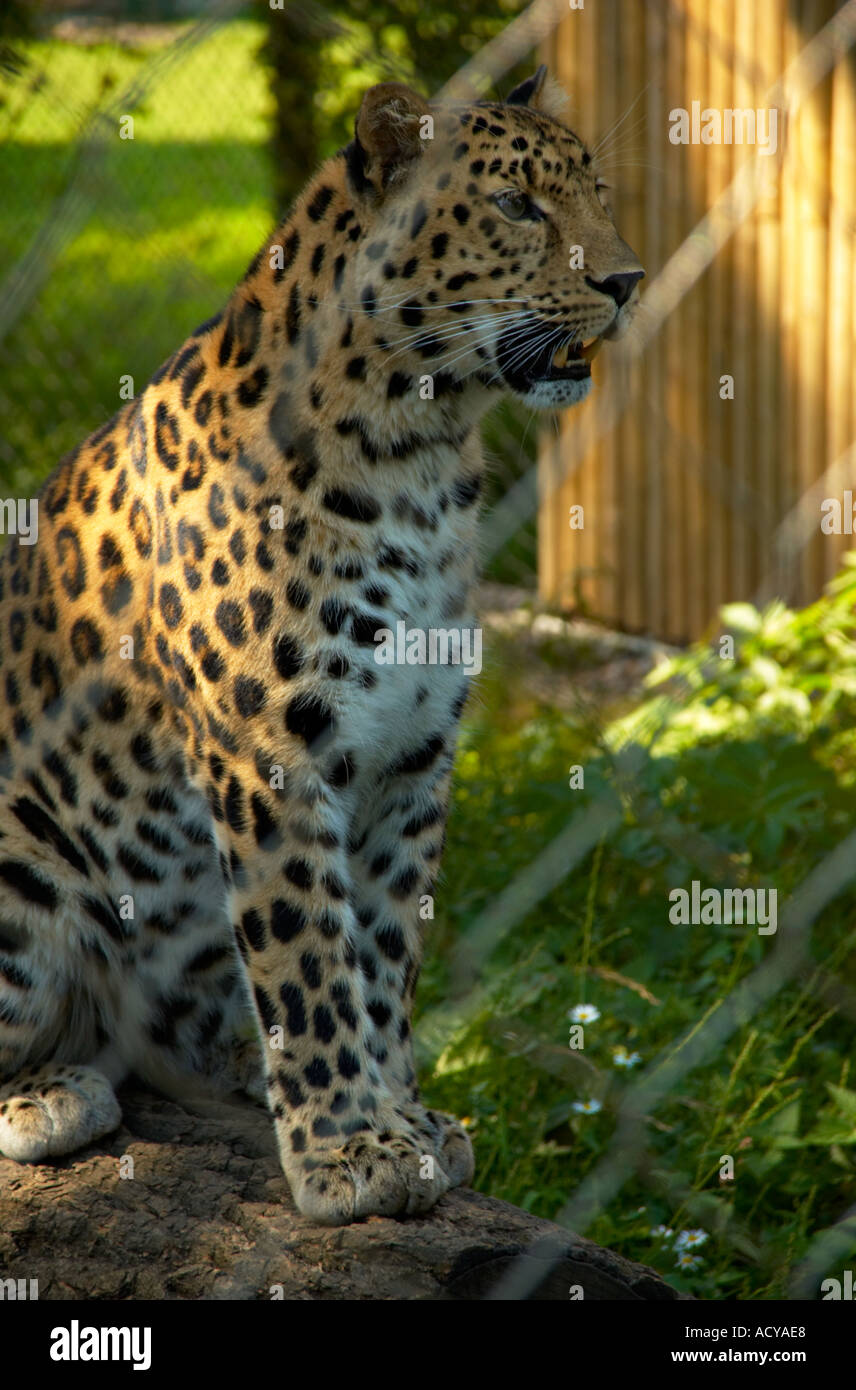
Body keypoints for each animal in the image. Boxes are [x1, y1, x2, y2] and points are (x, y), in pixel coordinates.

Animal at [0, 66, 643, 1224]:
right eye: (517, 206)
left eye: (597, 193)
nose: (627, 280)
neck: (419, 453)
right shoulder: (272, 754)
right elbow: (306, 952)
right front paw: (350, 1146)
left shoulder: (415, 756)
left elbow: (381, 954)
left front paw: (402, 1116)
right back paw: (52, 1094)